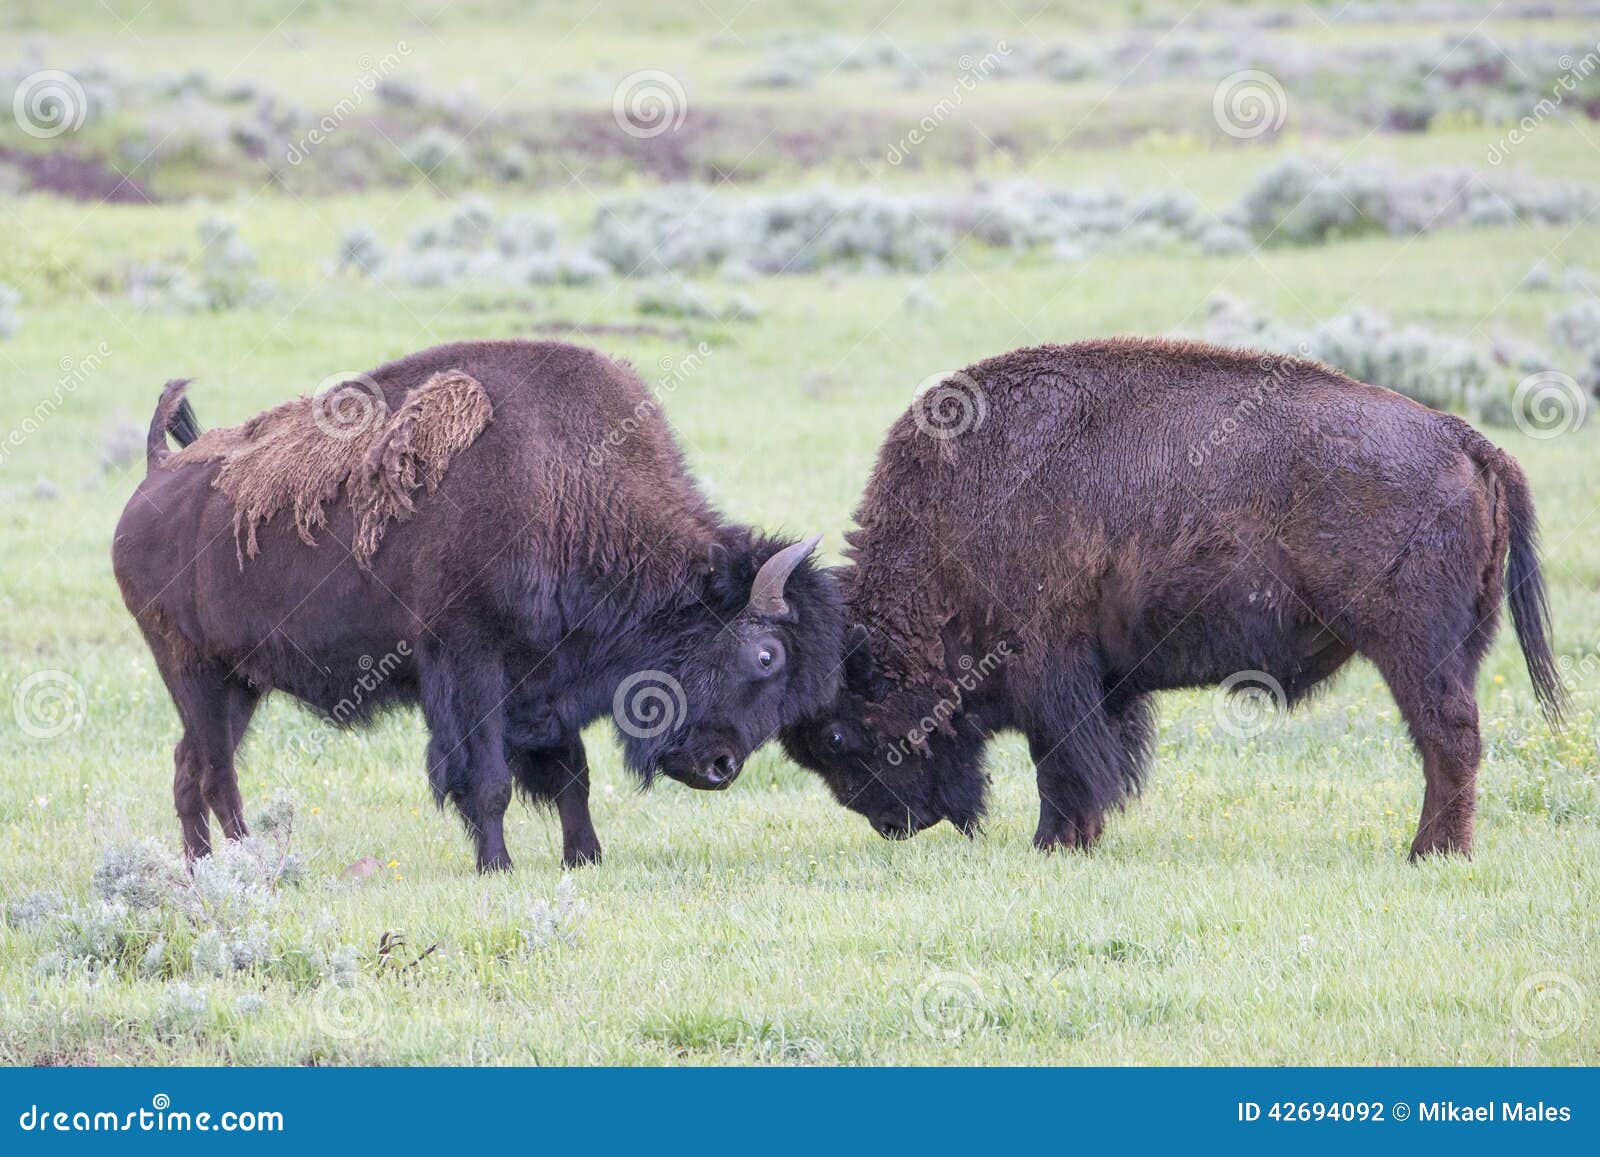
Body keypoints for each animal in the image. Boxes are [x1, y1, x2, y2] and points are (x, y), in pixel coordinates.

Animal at [114, 340, 843, 872]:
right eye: (766, 655)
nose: (720, 767)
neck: (569, 490)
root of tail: (154, 479)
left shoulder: (543, 685)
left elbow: (571, 774)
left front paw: (585, 857)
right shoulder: (470, 667)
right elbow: (488, 778)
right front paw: (498, 865)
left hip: (239, 684)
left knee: (189, 765)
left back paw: (201, 867)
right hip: (194, 670)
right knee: (216, 773)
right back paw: (248, 864)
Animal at [781, 338, 1564, 860]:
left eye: (839, 733)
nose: (894, 822)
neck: (947, 525)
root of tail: (1464, 439)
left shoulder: (1049, 668)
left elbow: (1063, 762)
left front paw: (1053, 844)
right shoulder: (1105, 679)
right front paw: (1079, 838)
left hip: (1413, 648)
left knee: (1447, 737)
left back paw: (1431, 852)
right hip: (1458, 646)